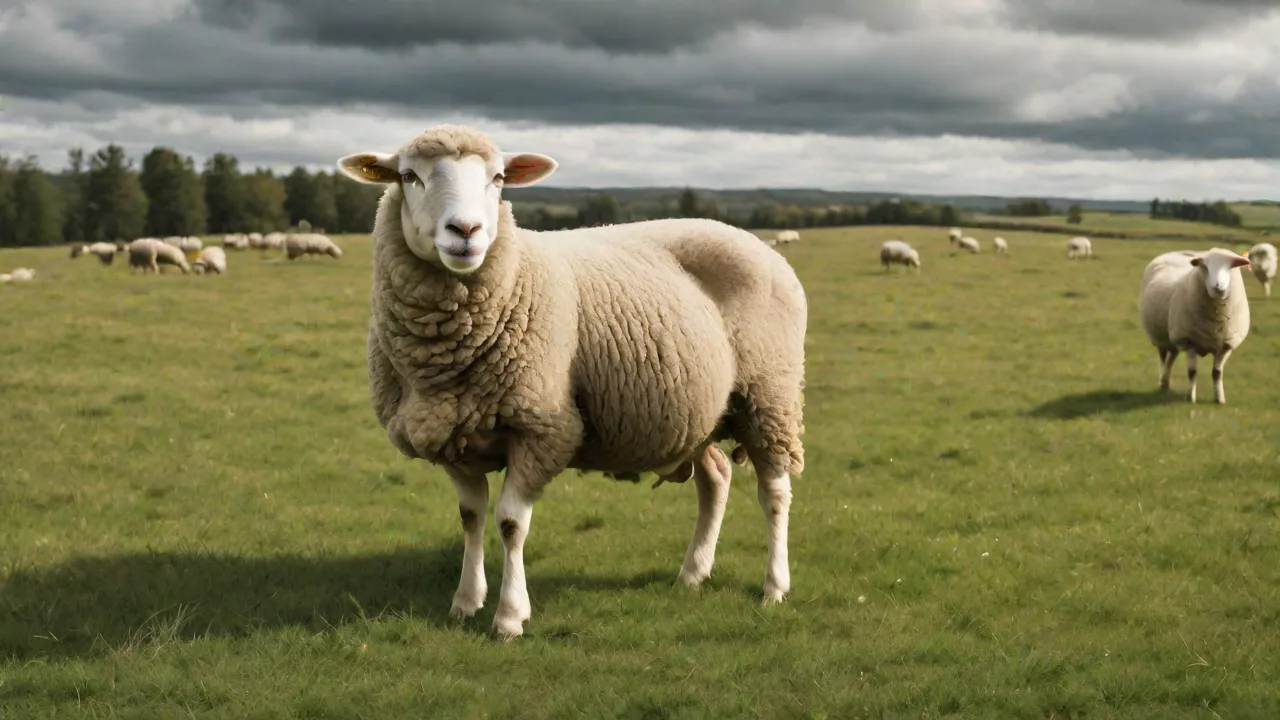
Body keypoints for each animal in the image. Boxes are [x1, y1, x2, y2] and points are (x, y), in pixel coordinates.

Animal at [337, 123, 806, 640]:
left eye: (498, 178)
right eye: (408, 176)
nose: (466, 232)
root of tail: (753, 240)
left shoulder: (542, 429)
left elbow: (509, 523)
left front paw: (509, 616)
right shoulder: (452, 434)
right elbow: (470, 517)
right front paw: (465, 602)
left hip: (770, 393)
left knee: (775, 493)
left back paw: (775, 587)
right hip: (698, 412)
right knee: (716, 479)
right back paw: (693, 573)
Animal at [1138, 248, 1251, 404]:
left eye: (1231, 266)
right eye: (1205, 267)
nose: (1219, 287)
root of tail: (1178, 252)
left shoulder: (1226, 345)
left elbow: (1217, 373)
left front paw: (1220, 399)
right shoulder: (1189, 341)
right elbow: (1192, 372)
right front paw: (1191, 397)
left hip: (1173, 337)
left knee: (1171, 357)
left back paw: (1166, 383)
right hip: (1161, 337)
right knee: (1163, 358)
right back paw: (1162, 382)